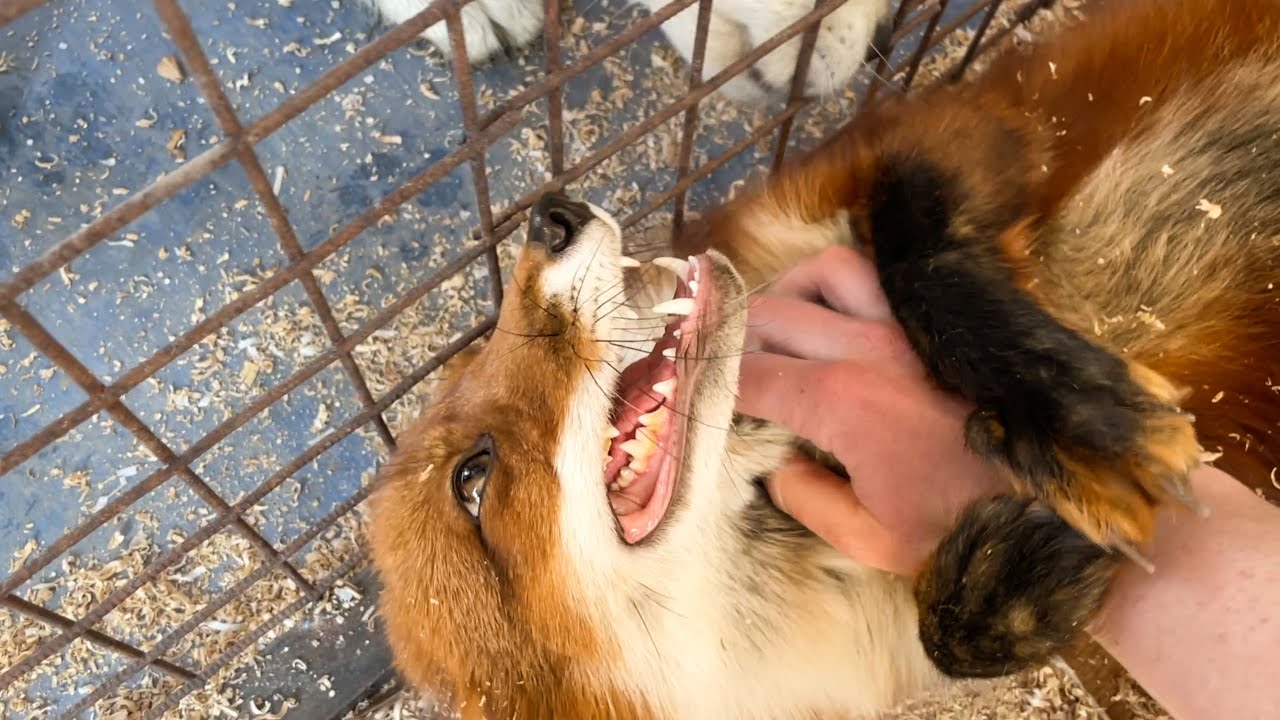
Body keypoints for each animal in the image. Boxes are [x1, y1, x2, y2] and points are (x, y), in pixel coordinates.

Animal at [367, 0, 1280, 717]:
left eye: (480, 350)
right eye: (472, 479)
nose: (549, 215)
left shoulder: (962, 130)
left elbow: (924, 262)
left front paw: (1075, 417)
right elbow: (949, 638)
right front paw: (1013, 576)